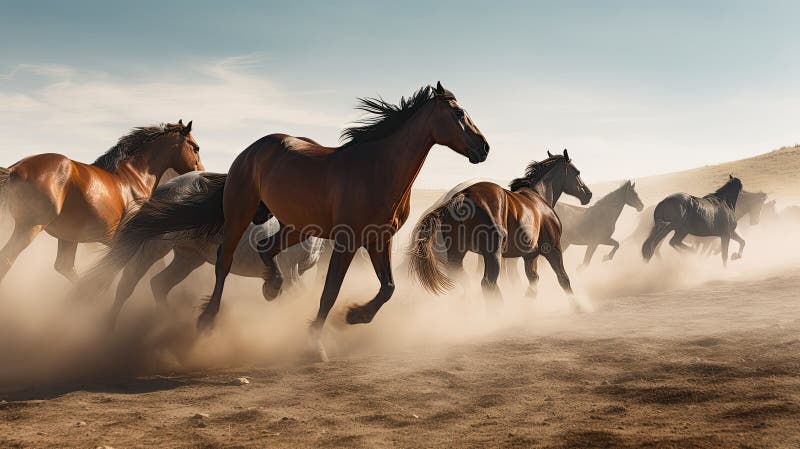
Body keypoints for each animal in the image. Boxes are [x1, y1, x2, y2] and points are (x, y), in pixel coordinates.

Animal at [0, 121, 202, 285]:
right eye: (196, 148)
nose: (201, 172)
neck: (135, 177)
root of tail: (15, 169)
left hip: (65, 235)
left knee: (65, 266)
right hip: (30, 227)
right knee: (7, 259)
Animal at [81, 171, 324, 326]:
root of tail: (166, 187)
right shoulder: (290, 270)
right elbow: (299, 298)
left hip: (189, 258)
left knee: (159, 283)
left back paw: (168, 325)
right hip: (156, 247)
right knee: (128, 282)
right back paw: (108, 329)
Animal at [408, 149, 591, 303]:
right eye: (577, 172)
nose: (588, 194)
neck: (538, 197)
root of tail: (463, 196)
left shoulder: (530, 256)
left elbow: (533, 280)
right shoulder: (552, 249)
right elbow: (563, 279)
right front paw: (578, 306)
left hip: (456, 254)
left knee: (465, 281)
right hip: (492, 254)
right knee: (488, 284)